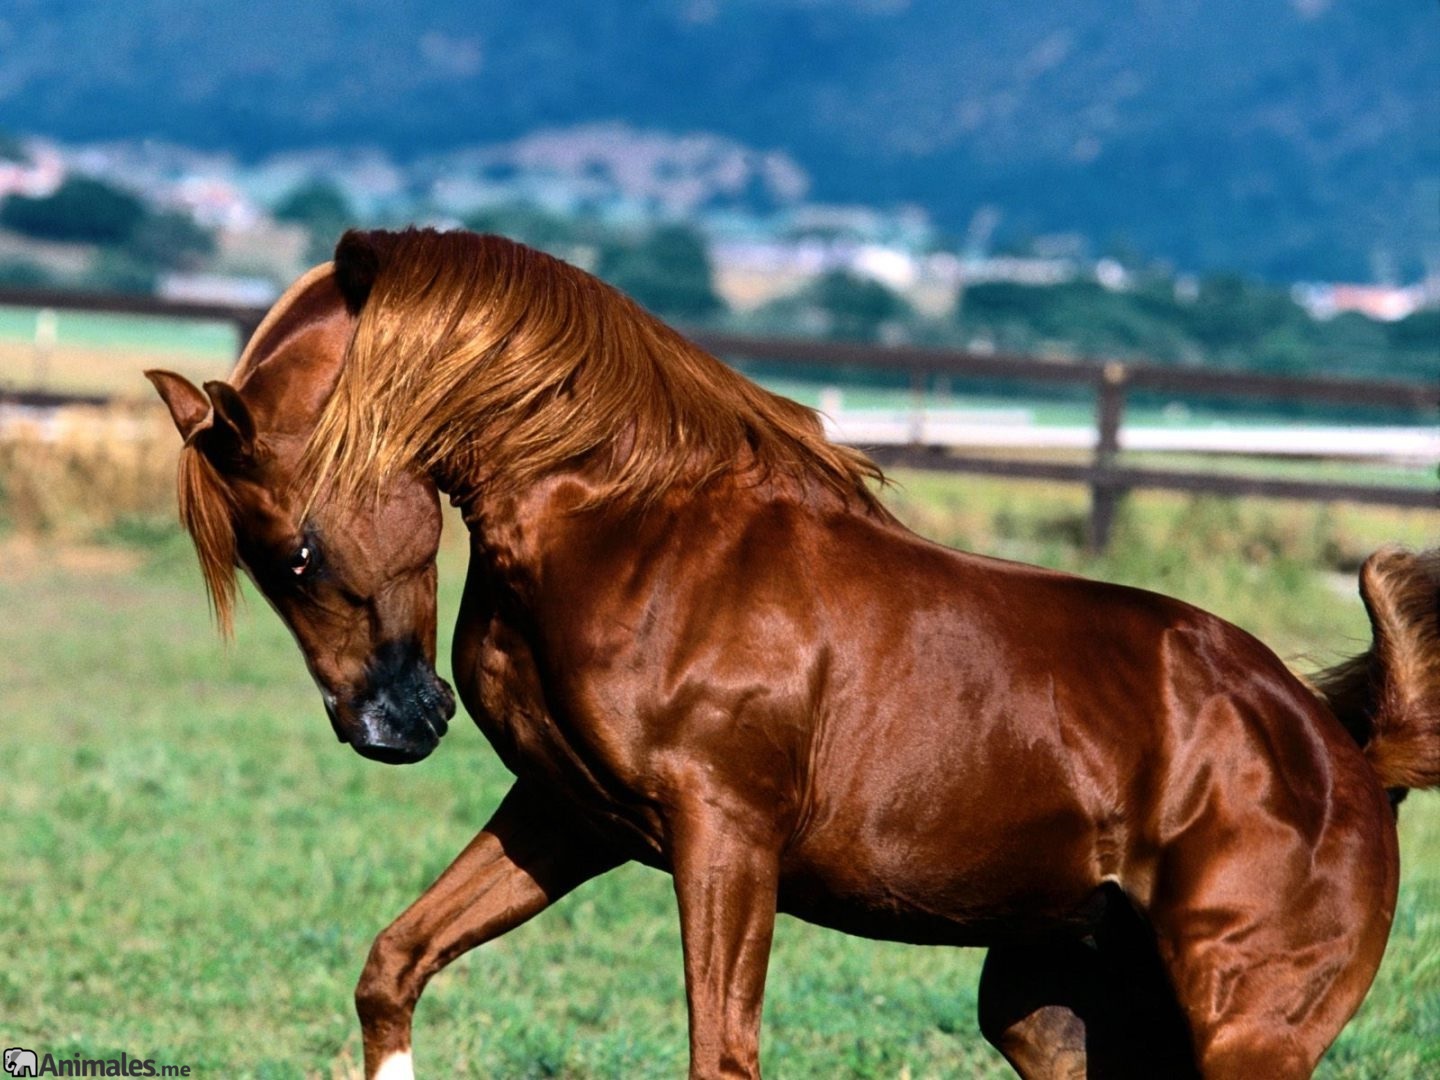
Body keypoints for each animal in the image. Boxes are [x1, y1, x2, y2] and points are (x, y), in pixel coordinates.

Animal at [146, 227, 1440, 1079]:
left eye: (294, 552)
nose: (390, 728)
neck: (635, 528)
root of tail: (1349, 757)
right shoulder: (568, 816)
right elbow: (395, 964)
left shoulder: (726, 839)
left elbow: (721, 1054)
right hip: (1051, 1012)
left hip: (1242, 1032)